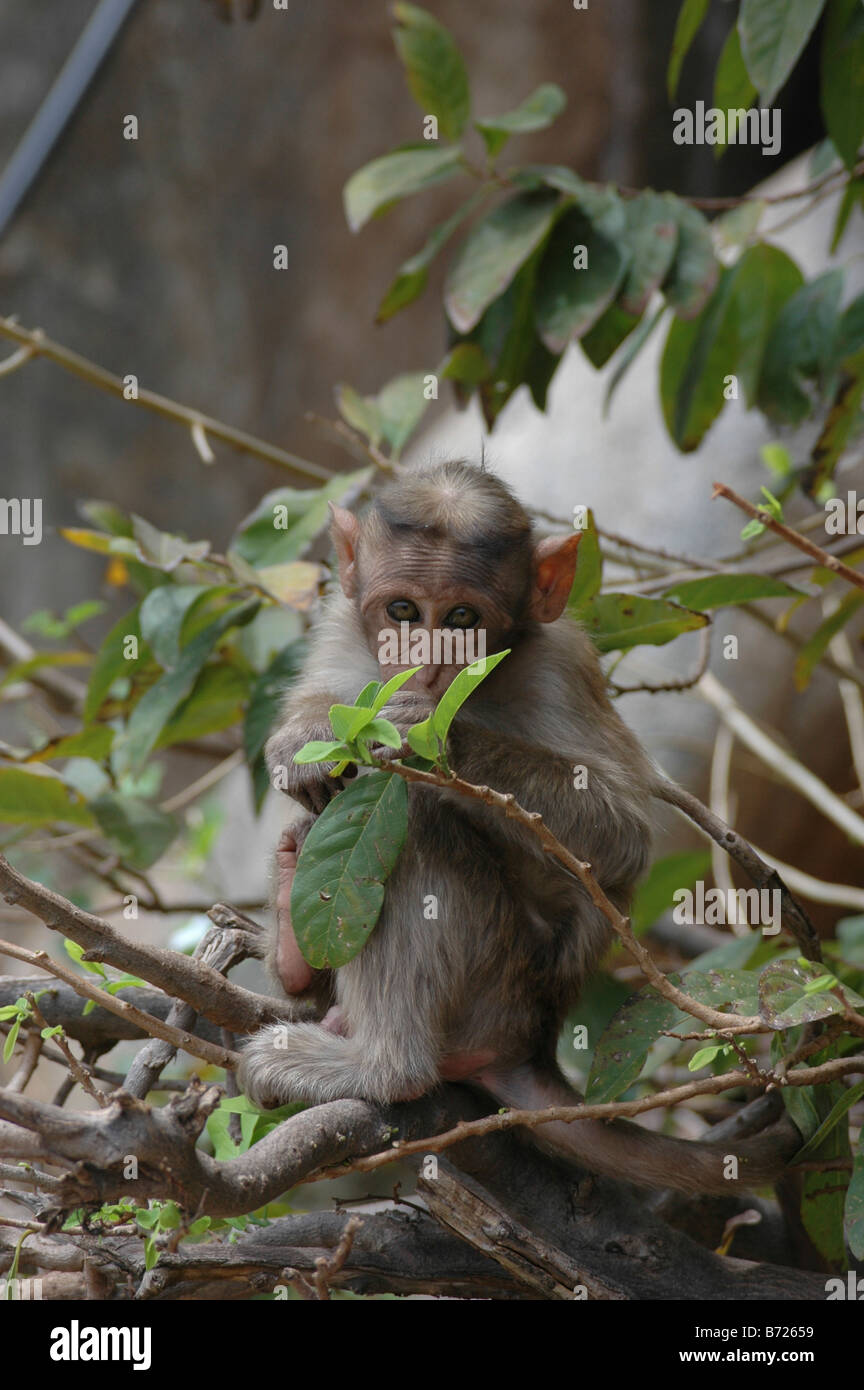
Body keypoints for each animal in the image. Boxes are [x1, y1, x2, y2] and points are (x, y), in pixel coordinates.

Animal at [238, 459, 799, 1195]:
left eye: (463, 618)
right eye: (402, 611)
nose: (424, 665)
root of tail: (532, 1041)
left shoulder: (561, 665)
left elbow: (622, 837)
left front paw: (424, 733)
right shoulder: (339, 627)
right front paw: (300, 740)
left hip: (497, 983)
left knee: (420, 824)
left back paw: (383, 1067)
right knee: (331, 816)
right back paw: (293, 937)